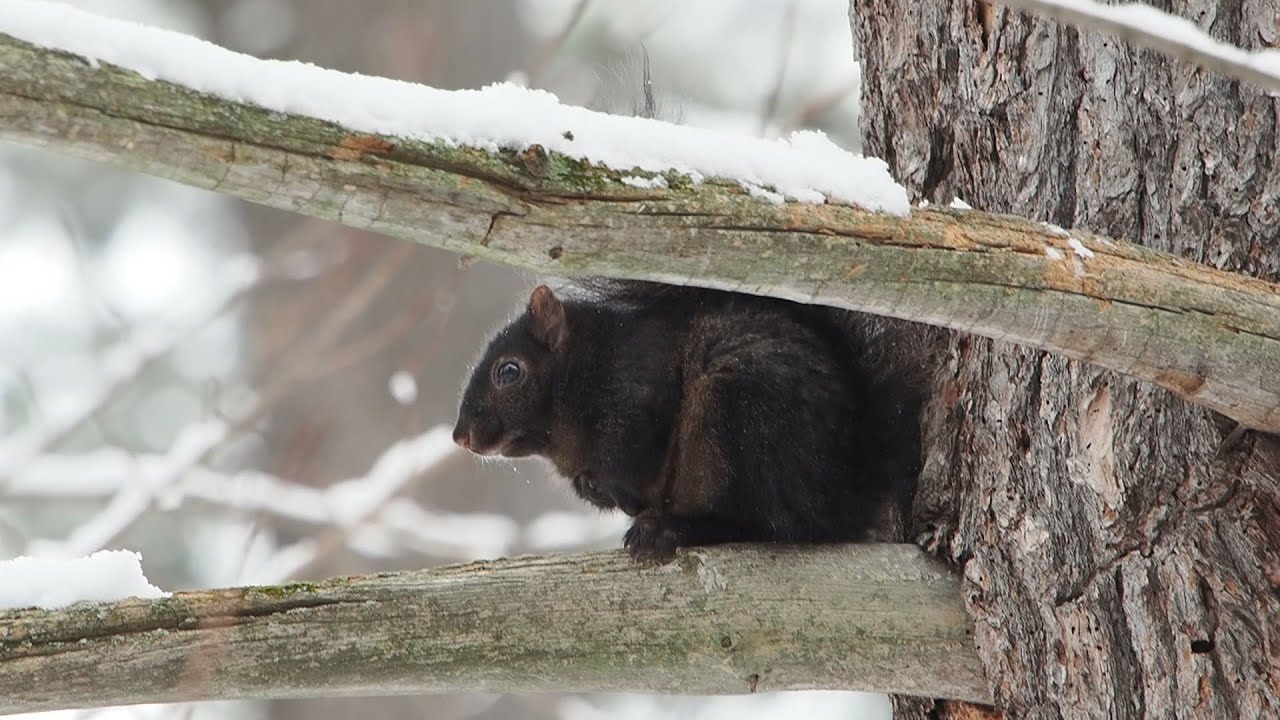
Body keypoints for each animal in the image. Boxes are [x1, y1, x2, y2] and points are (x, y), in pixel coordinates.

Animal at [452, 278, 938, 562]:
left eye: (509, 372)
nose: (460, 436)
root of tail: (845, 493)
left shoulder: (640, 388)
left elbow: (635, 451)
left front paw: (617, 489)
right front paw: (595, 489)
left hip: (734, 424)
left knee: (762, 527)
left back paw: (672, 531)